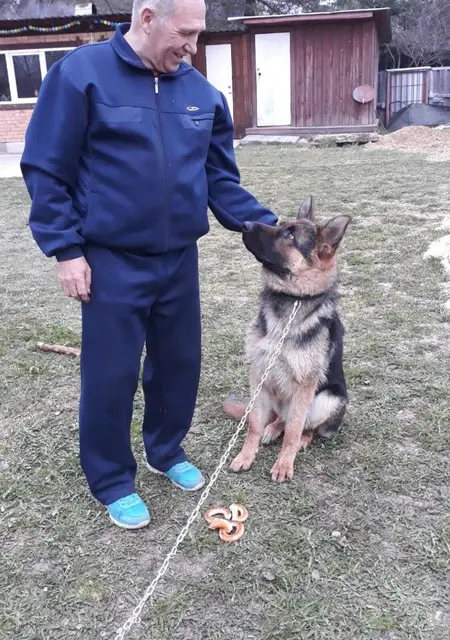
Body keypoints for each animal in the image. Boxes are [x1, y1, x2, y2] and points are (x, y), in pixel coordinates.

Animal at [223, 195, 351, 483]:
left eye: (290, 235)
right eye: (279, 224)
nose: (245, 224)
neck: (291, 299)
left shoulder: (305, 385)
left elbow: (293, 431)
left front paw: (284, 463)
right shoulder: (258, 374)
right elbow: (254, 423)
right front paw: (246, 455)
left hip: (328, 398)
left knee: (305, 426)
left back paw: (302, 438)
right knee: (281, 418)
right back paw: (272, 427)